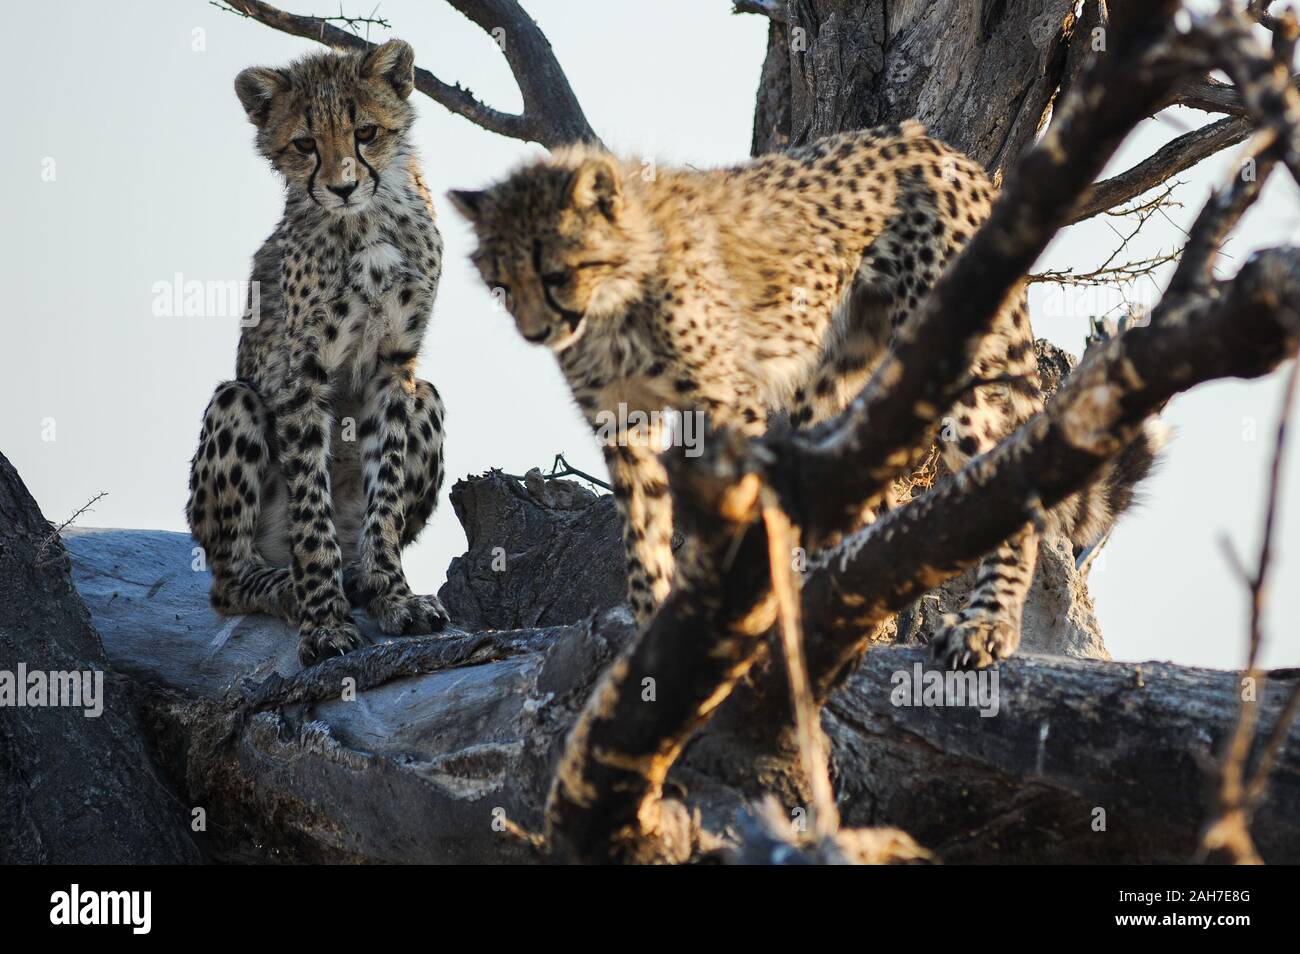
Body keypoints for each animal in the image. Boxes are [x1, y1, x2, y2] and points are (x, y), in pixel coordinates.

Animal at [186, 39, 450, 666]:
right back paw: (285, 587)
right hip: (235, 405)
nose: (344, 187)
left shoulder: (395, 367)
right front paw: (325, 619)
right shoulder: (301, 377)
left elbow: (385, 496)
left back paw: (359, 580)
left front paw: (393, 593)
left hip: (427, 395)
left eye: (366, 132)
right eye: (305, 144)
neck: (367, 221)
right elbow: (312, 513)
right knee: (225, 581)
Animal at [448, 121, 1161, 669]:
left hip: (954, 355)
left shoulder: (726, 403)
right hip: (830, 375)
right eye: (498, 279)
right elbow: (643, 529)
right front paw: (650, 630)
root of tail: (945, 150)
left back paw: (983, 628)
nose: (536, 331)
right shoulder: (625, 422)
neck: (613, 301)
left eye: (554, 271)